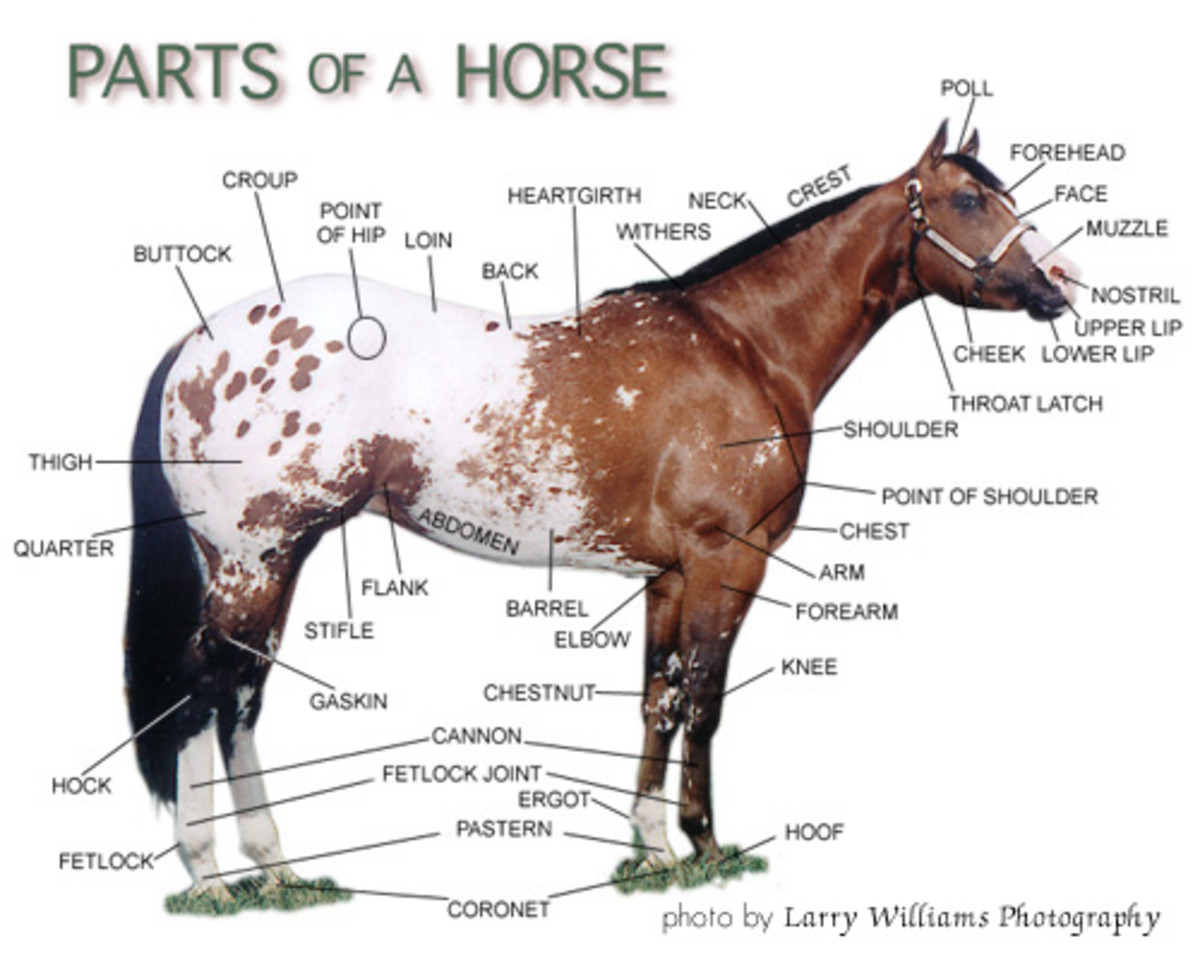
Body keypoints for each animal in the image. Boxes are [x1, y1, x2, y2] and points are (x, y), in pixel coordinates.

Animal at [124, 120, 1077, 903]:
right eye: (968, 200)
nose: (1062, 285)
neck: (745, 348)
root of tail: (198, 340)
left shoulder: (668, 575)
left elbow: (657, 699)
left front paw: (650, 849)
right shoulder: (727, 560)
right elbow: (706, 700)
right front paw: (704, 845)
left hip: (270, 562)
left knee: (241, 694)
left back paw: (276, 867)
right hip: (254, 557)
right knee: (203, 688)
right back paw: (212, 876)